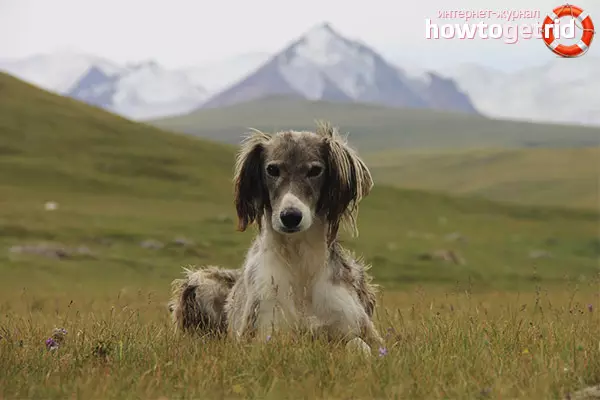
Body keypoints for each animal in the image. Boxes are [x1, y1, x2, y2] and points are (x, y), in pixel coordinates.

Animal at [169, 121, 384, 354]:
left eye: (315, 170)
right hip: (199, 282)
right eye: (272, 169)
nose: (290, 217)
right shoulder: (262, 336)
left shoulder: (362, 330)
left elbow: (359, 344)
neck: (300, 262)